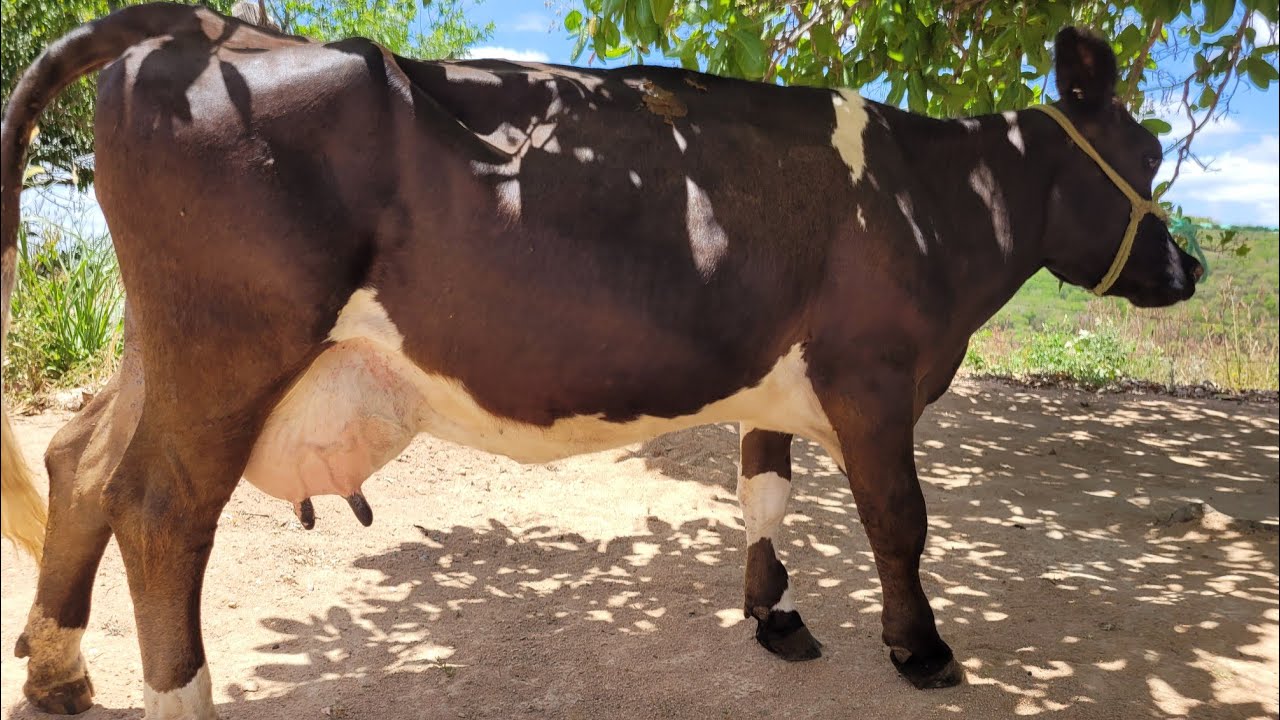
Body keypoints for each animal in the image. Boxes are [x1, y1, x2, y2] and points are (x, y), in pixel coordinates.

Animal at [0, 3, 1202, 717]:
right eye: (1140, 152)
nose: (1187, 266)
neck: (935, 198)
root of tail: (209, 24)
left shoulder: (772, 377)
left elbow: (763, 494)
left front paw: (773, 618)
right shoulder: (873, 375)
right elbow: (898, 521)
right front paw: (920, 650)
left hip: (163, 343)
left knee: (80, 459)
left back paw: (59, 674)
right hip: (229, 342)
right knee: (159, 507)